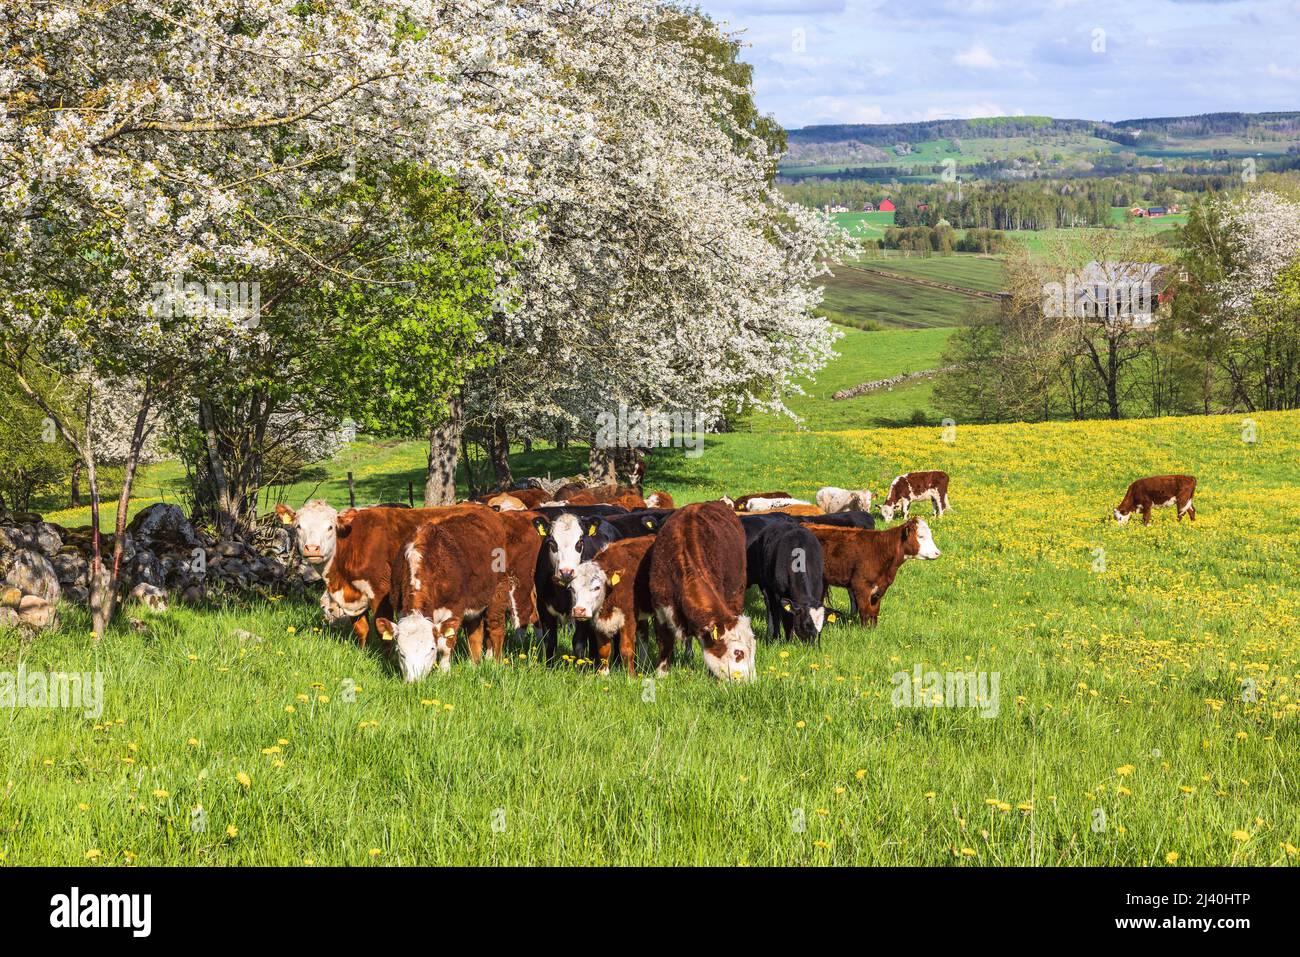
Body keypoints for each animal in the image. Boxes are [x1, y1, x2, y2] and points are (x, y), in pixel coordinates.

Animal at [375, 508, 509, 681]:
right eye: (401, 653)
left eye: (431, 649)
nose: (414, 681)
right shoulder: (399, 607)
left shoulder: (454, 609)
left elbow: (446, 645)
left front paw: (444, 672)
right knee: (475, 632)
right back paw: (473, 665)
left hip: (499, 591)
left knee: (496, 628)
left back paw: (495, 663)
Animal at [568, 536, 657, 676]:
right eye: (571, 588)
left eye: (597, 587)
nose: (579, 610)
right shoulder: (598, 622)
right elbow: (604, 650)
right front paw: (603, 674)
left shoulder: (628, 618)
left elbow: (626, 649)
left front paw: (631, 676)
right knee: (644, 635)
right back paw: (643, 665)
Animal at [809, 517, 940, 627]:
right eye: (921, 536)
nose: (937, 553)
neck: (881, 551)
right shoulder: (861, 586)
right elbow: (865, 612)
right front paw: (865, 631)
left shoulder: (881, 588)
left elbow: (874, 612)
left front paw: (873, 630)